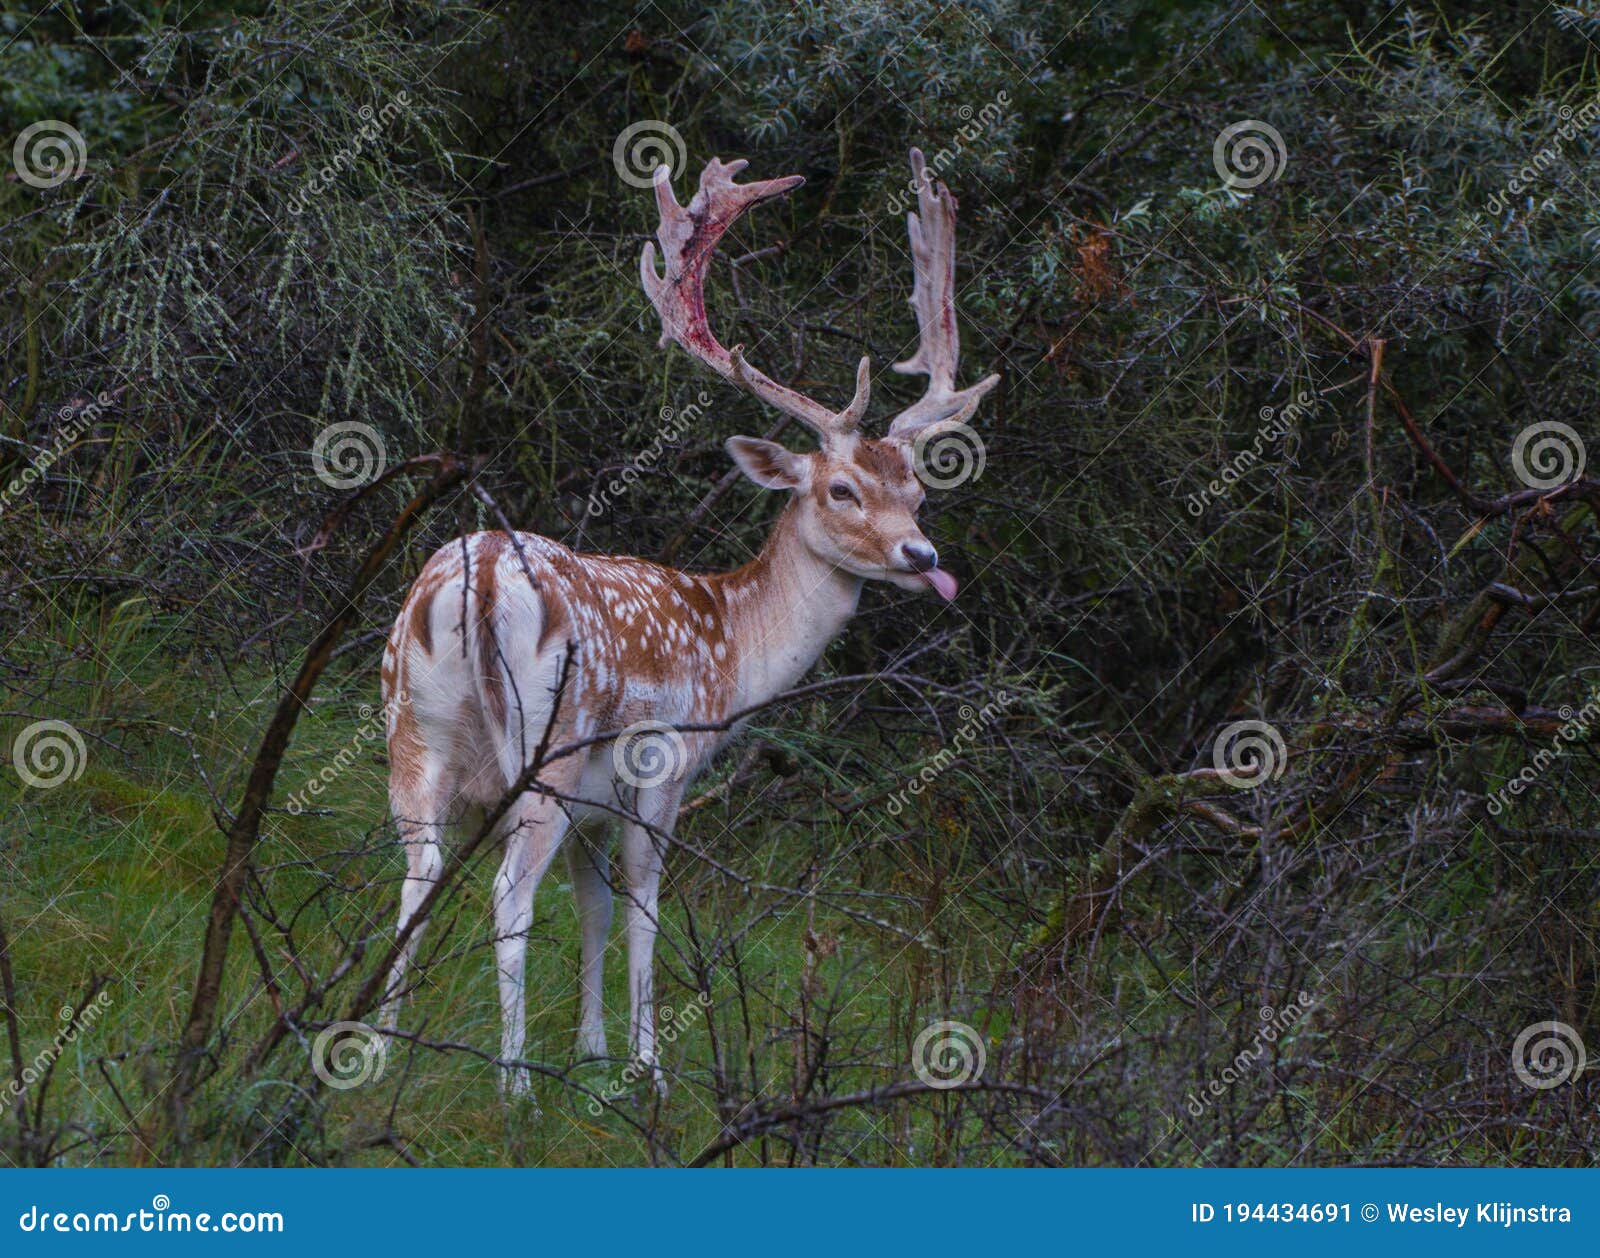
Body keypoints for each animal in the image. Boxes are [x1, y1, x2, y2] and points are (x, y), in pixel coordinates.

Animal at [376, 148, 998, 1095]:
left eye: (918, 492)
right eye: (840, 490)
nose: (922, 556)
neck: (733, 651)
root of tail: (476, 583)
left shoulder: (597, 806)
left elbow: (593, 908)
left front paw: (592, 1053)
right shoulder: (661, 769)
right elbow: (641, 907)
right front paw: (646, 1070)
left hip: (410, 731)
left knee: (418, 878)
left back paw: (374, 1053)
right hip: (548, 746)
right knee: (506, 895)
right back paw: (512, 1084)